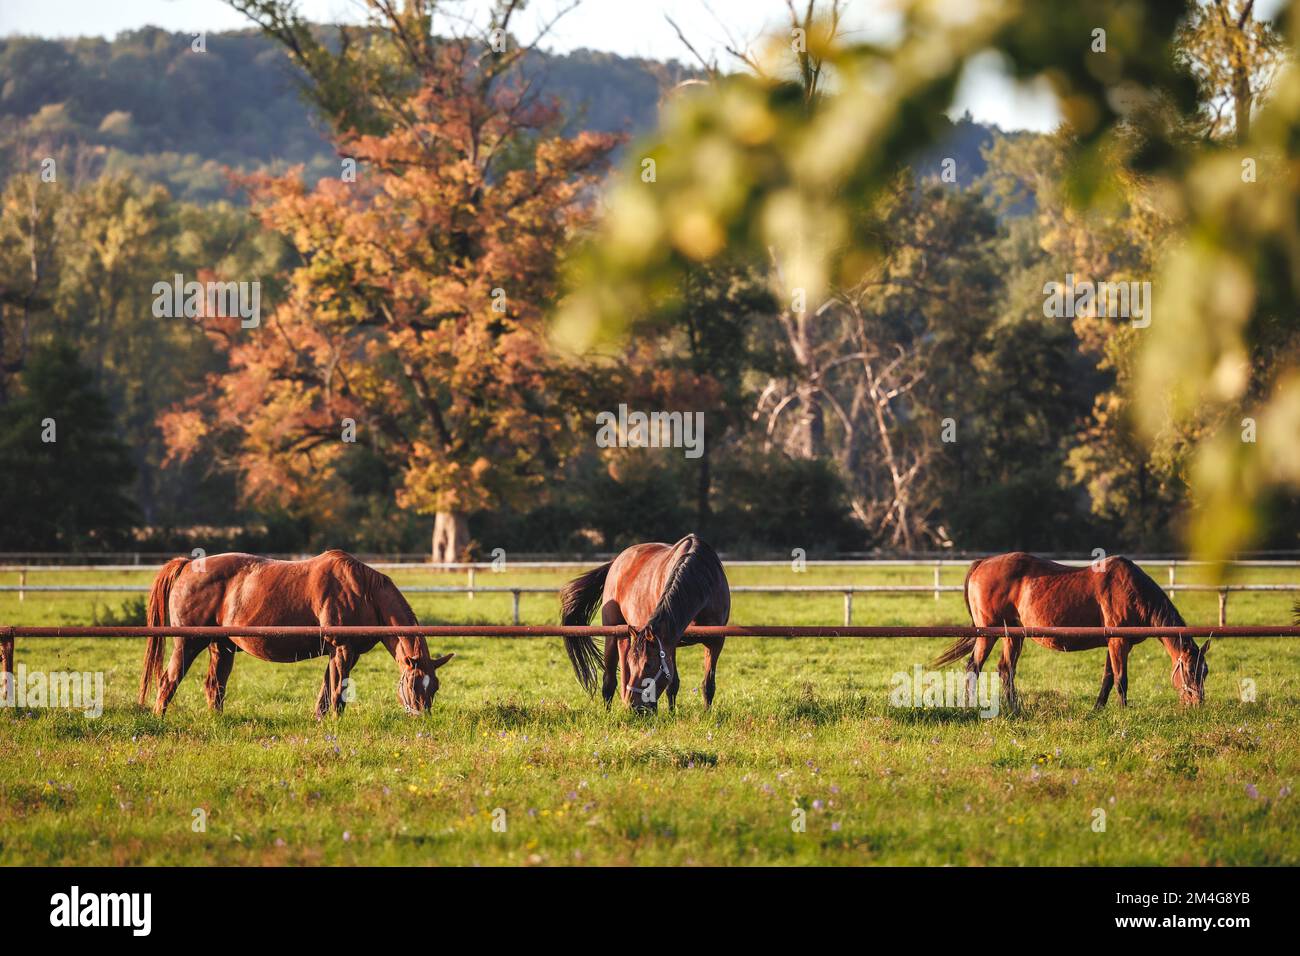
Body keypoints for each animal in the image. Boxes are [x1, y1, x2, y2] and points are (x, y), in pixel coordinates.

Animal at [138, 550, 453, 718]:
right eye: (414, 684)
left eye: (434, 687)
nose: (422, 717)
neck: (365, 592)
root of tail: (188, 565)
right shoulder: (343, 649)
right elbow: (338, 689)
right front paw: (336, 720)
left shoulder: (339, 653)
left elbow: (327, 688)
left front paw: (321, 719)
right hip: (187, 643)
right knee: (168, 681)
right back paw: (160, 717)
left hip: (221, 647)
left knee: (214, 686)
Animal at [559, 533, 730, 712]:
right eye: (633, 664)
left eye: (648, 664)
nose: (634, 705)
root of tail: (616, 561)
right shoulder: (671, 642)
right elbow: (672, 685)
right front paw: (670, 714)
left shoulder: (716, 641)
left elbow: (708, 685)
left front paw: (706, 714)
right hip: (612, 636)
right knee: (609, 681)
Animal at [931, 552, 1209, 710]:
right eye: (1188, 670)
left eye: (1204, 671)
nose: (1197, 704)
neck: (1132, 590)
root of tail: (982, 563)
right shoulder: (1119, 642)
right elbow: (1121, 680)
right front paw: (1124, 711)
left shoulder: (1115, 644)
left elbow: (1108, 678)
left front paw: (1098, 709)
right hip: (988, 633)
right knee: (974, 667)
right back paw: (971, 707)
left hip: (1014, 635)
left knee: (1005, 670)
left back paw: (1014, 708)